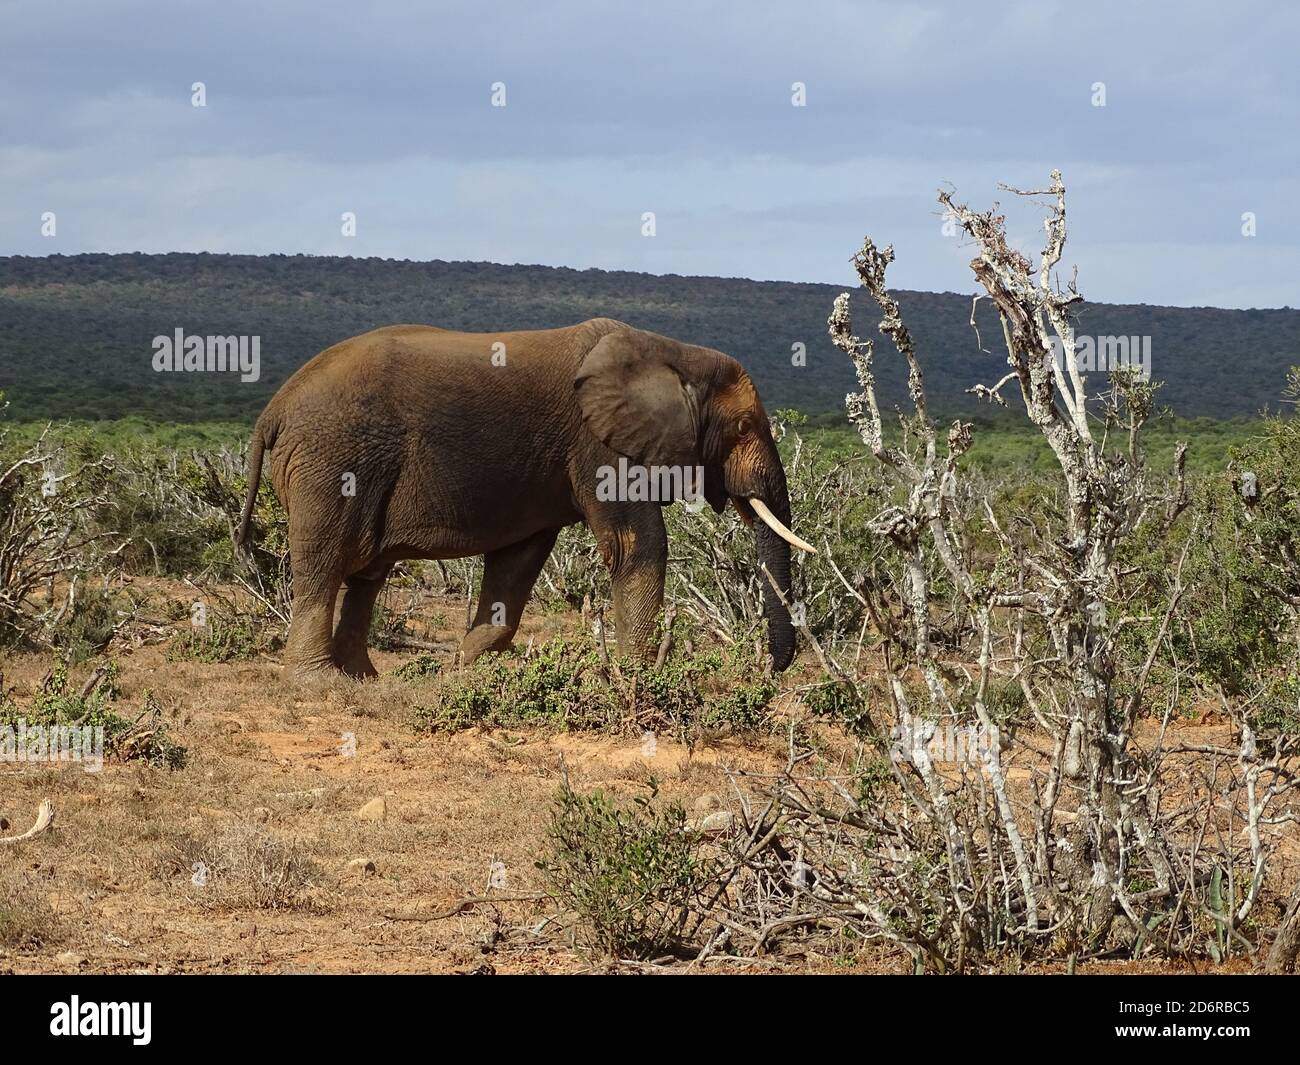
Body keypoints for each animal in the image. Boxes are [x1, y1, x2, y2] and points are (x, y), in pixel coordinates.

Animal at [234, 318, 814, 682]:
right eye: (743, 426)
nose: (769, 669)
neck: (673, 353)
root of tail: (272, 411)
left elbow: (519, 559)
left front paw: (460, 673)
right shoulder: (597, 443)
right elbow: (636, 542)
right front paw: (641, 677)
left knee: (366, 573)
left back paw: (364, 679)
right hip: (333, 460)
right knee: (327, 560)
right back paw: (318, 683)